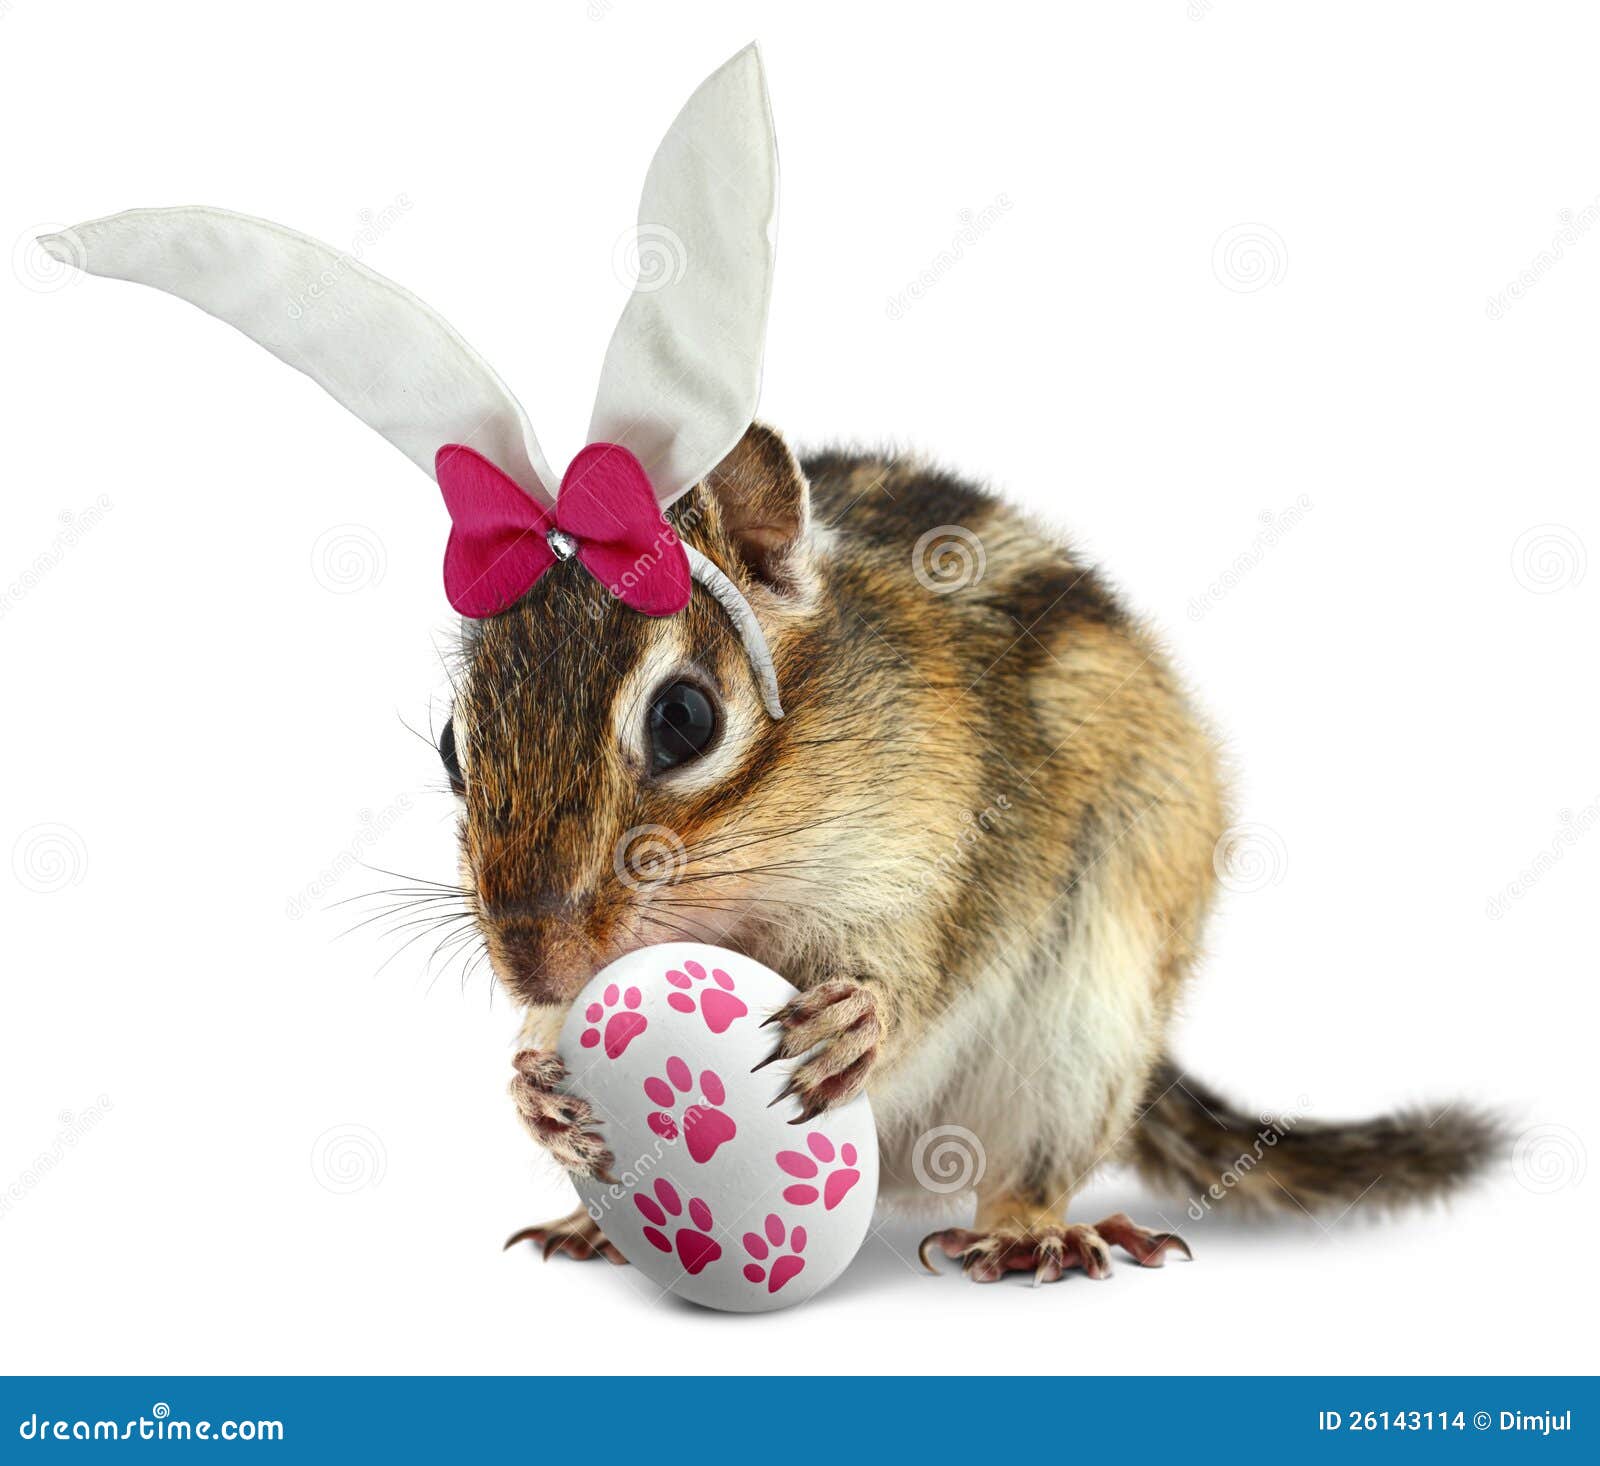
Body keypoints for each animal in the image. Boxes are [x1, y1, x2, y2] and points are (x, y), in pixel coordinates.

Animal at [454, 422, 1500, 1284]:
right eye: (449, 748)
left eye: (683, 719)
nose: (532, 963)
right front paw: (533, 1078)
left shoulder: (942, 857)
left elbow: (925, 972)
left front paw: (857, 1022)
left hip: (1089, 1027)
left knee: (1034, 1166)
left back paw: (1031, 1233)